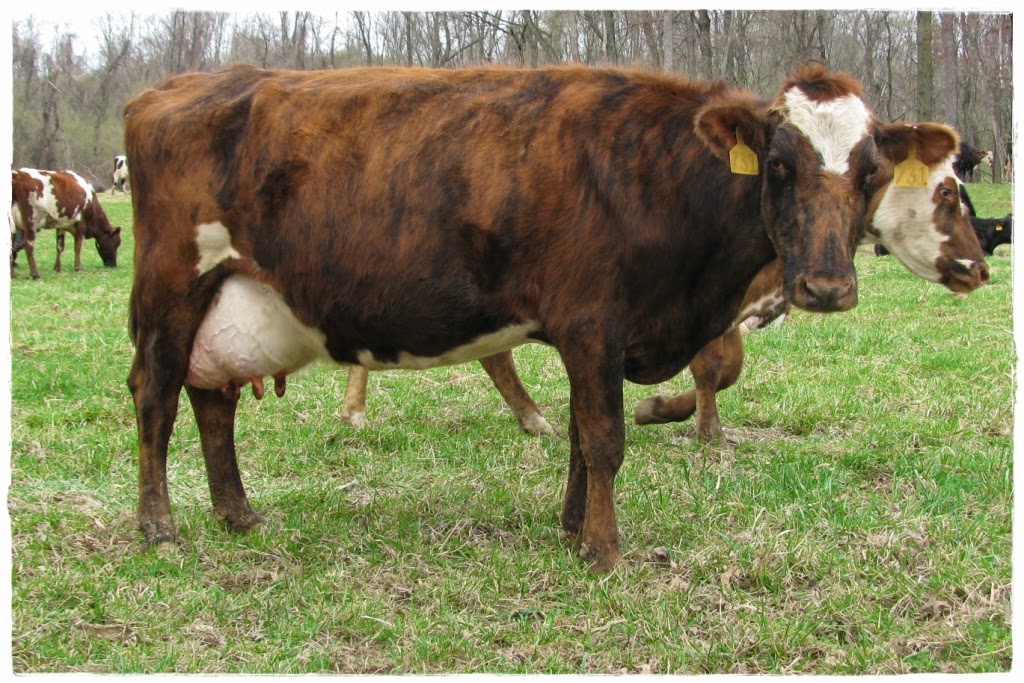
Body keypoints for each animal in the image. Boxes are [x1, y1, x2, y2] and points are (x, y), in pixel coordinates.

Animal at [125, 63, 882, 572]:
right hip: (171, 289)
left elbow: (580, 434)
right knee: (156, 396)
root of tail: (172, 87)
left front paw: (573, 528)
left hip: (226, 303)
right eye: (779, 164)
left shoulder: (595, 338)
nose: (825, 285)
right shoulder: (593, 322)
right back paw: (159, 527)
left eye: (871, 172)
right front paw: (605, 550)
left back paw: (237, 513)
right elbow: (605, 438)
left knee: (213, 401)